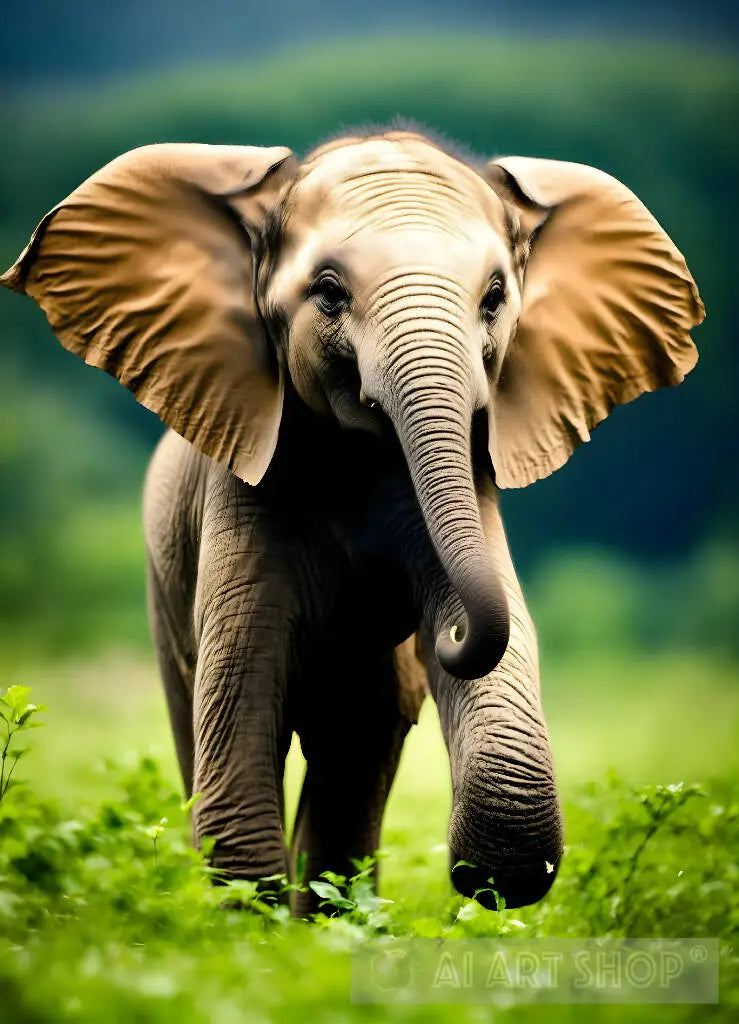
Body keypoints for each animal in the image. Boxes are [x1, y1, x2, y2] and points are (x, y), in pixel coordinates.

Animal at [1, 127, 703, 912]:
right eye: (330, 293)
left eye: (495, 297)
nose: (445, 635)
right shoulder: (244, 492)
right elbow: (243, 701)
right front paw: (252, 927)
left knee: (355, 750)